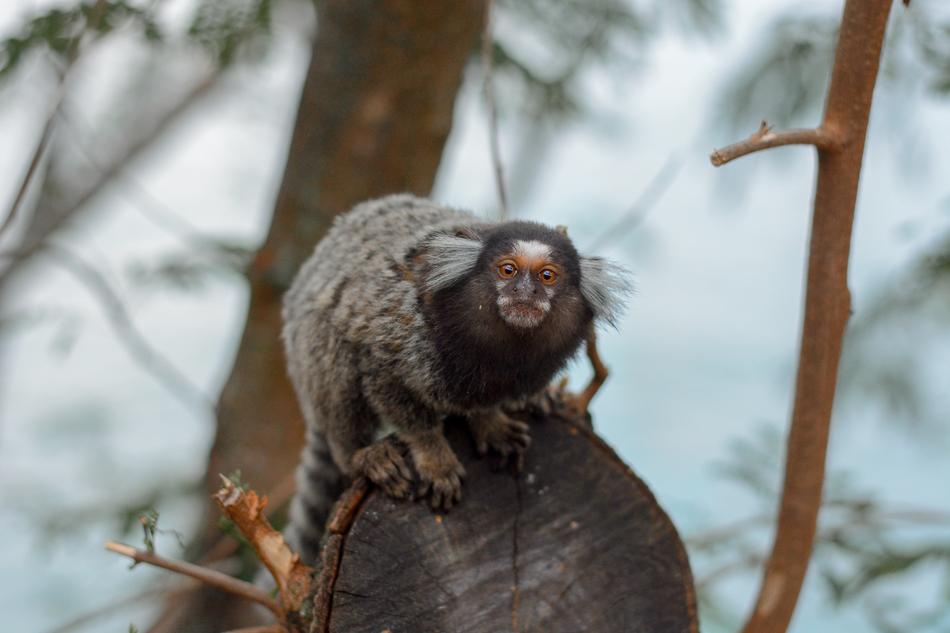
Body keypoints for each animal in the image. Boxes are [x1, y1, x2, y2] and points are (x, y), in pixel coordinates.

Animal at [281, 194, 630, 562]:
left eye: (547, 276)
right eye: (508, 270)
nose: (526, 291)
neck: (504, 349)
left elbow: (485, 402)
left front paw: (489, 422)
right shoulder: (401, 331)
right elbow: (388, 384)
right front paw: (434, 456)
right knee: (333, 351)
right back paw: (360, 455)